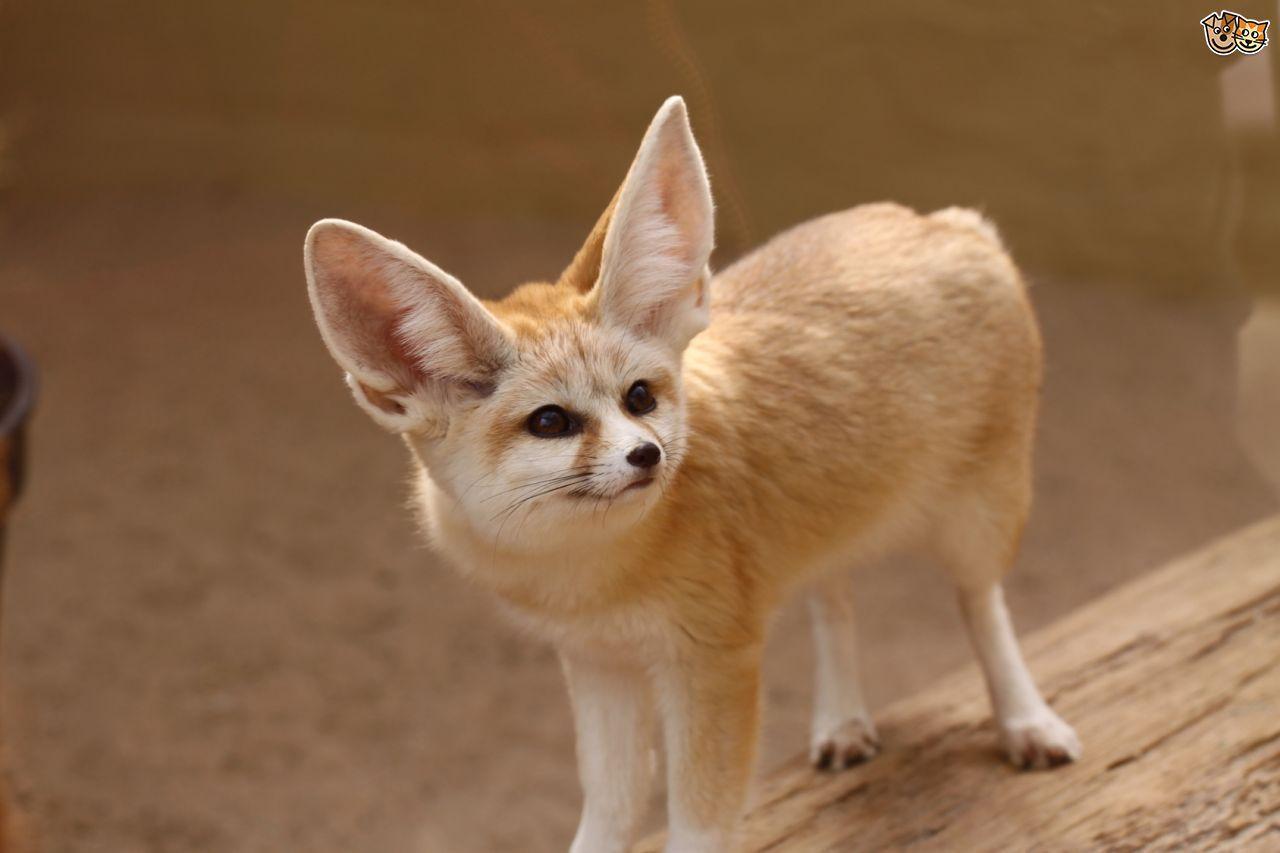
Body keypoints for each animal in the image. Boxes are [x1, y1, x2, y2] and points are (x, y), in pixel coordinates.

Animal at [304, 96, 1080, 852]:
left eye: (639, 397)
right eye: (550, 422)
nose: (646, 454)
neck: (592, 575)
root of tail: (945, 223)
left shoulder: (712, 662)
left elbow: (697, 819)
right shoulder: (597, 662)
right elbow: (610, 804)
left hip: (977, 523)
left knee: (981, 605)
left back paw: (1024, 720)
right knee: (833, 593)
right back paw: (841, 717)